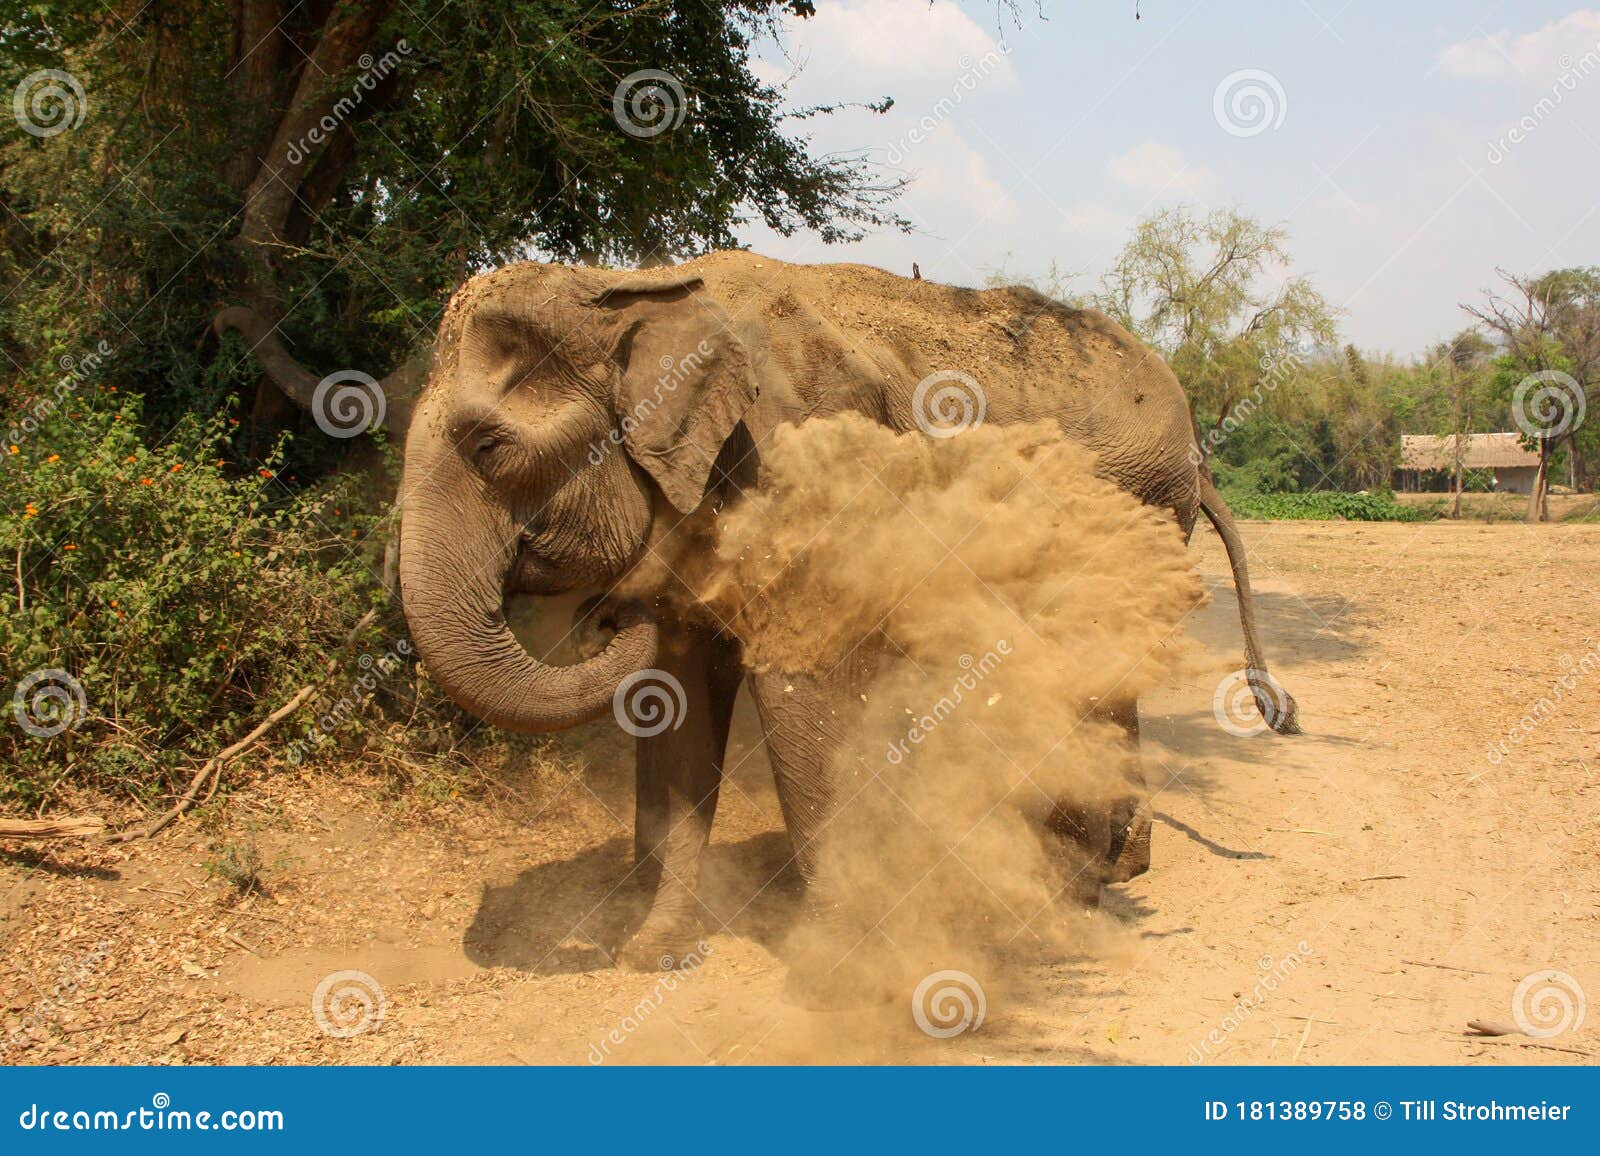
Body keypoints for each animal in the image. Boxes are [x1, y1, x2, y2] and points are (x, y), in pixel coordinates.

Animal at [396, 251, 1298, 977]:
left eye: (489, 449)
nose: (611, 617)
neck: (637, 287)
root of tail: (1195, 446)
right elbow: (680, 704)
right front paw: (655, 954)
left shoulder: (799, 463)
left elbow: (810, 690)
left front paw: (843, 960)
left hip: (1136, 507)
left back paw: (1076, 891)